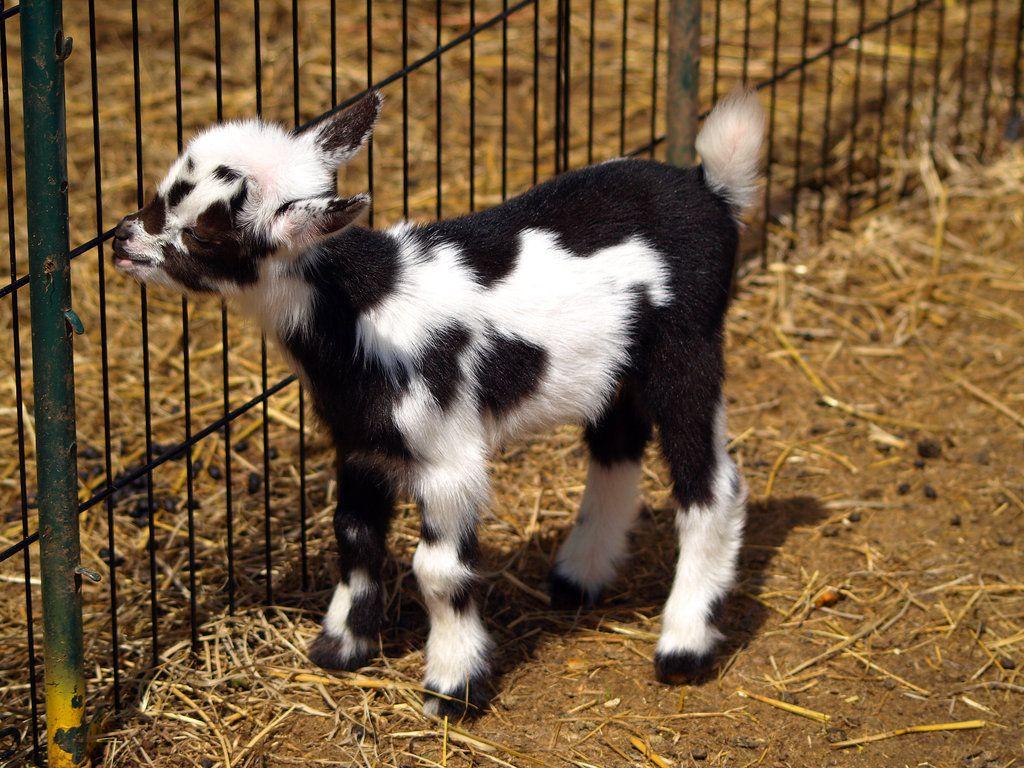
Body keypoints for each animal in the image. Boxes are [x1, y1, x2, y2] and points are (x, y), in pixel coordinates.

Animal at [112, 89, 765, 717]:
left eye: (204, 234)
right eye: (161, 194)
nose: (120, 240)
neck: (362, 305)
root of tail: (711, 191)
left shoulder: (447, 458)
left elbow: (438, 571)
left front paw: (454, 685)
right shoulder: (363, 443)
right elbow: (353, 535)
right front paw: (341, 647)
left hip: (686, 352)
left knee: (711, 484)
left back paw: (684, 645)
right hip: (615, 370)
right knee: (617, 449)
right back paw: (578, 576)